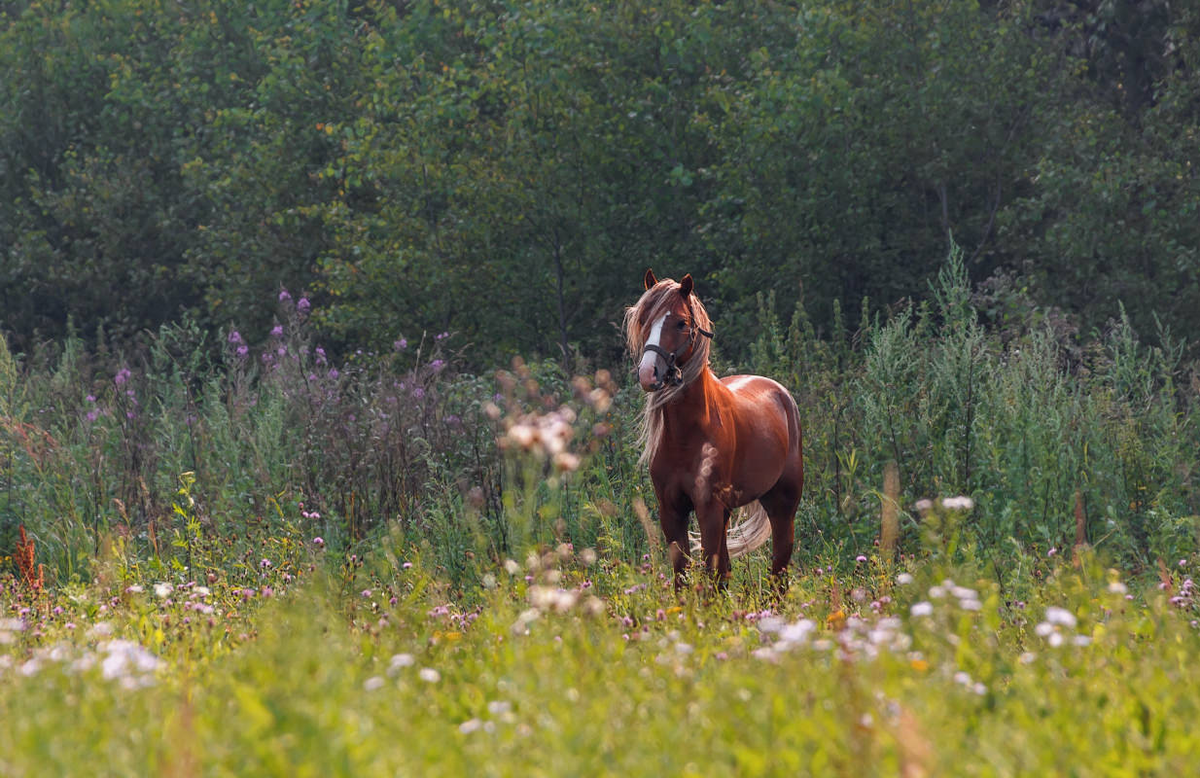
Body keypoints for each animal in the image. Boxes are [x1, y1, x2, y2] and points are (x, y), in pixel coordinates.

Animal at [624, 270, 801, 593]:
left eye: (681, 323)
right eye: (644, 320)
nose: (648, 373)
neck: (686, 436)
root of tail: (781, 394)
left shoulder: (708, 510)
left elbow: (708, 574)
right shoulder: (672, 511)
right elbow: (683, 576)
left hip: (782, 507)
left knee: (779, 573)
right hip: (728, 512)